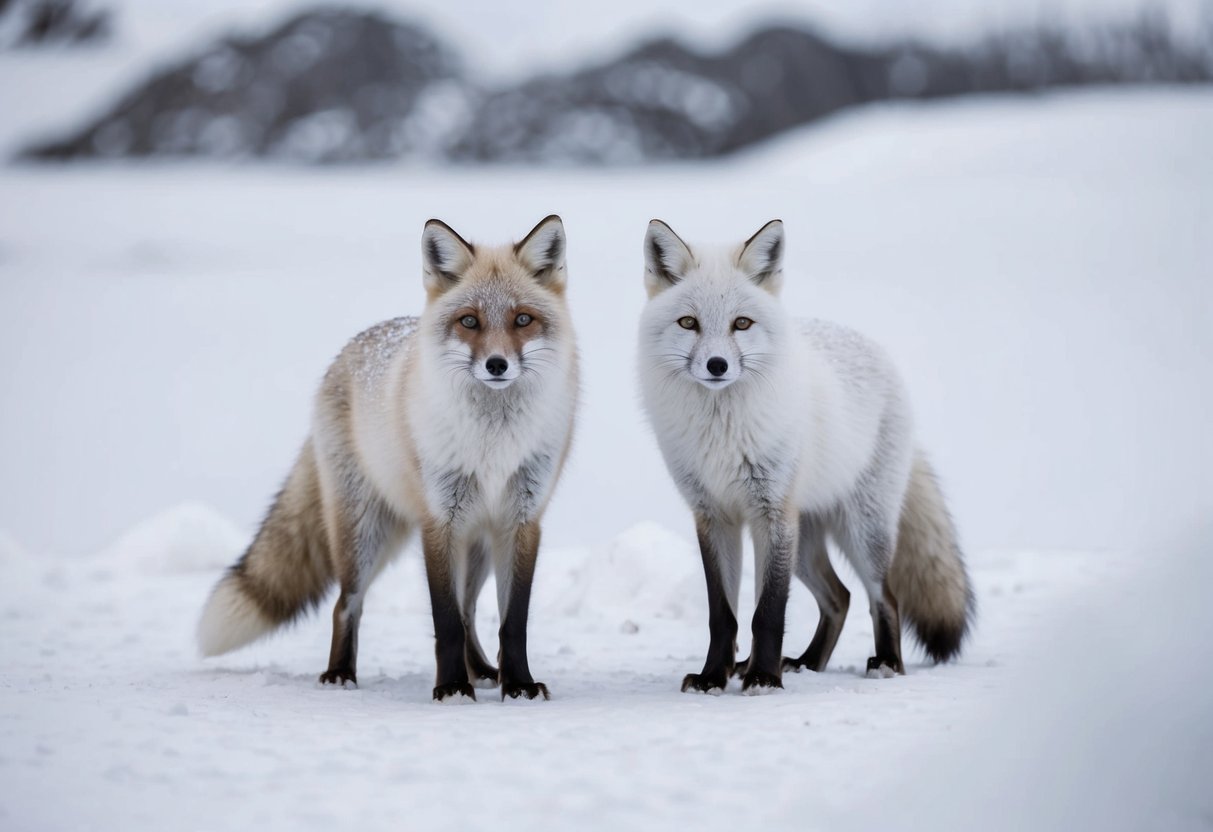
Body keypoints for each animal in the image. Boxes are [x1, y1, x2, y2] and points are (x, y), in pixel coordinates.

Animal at [197, 215, 579, 702]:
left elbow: (511, 624)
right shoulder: (439, 521)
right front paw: (451, 688)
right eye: (469, 321)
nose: (497, 365)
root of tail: (350, 349)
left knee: (470, 612)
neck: (492, 443)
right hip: (365, 533)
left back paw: (482, 671)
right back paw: (340, 673)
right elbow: (445, 622)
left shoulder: (522, 520)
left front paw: (519, 684)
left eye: (523, 319)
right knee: (346, 604)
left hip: (476, 541)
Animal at [637, 218, 974, 694]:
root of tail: (875, 348)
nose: (717, 365)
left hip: (860, 532)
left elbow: (767, 613)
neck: (721, 432)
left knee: (882, 596)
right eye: (689, 322)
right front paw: (714, 676)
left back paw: (886, 662)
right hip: (805, 544)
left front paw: (763, 678)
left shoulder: (772, 513)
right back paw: (807, 662)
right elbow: (723, 616)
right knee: (840, 598)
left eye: (741, 323)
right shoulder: (713, 514)